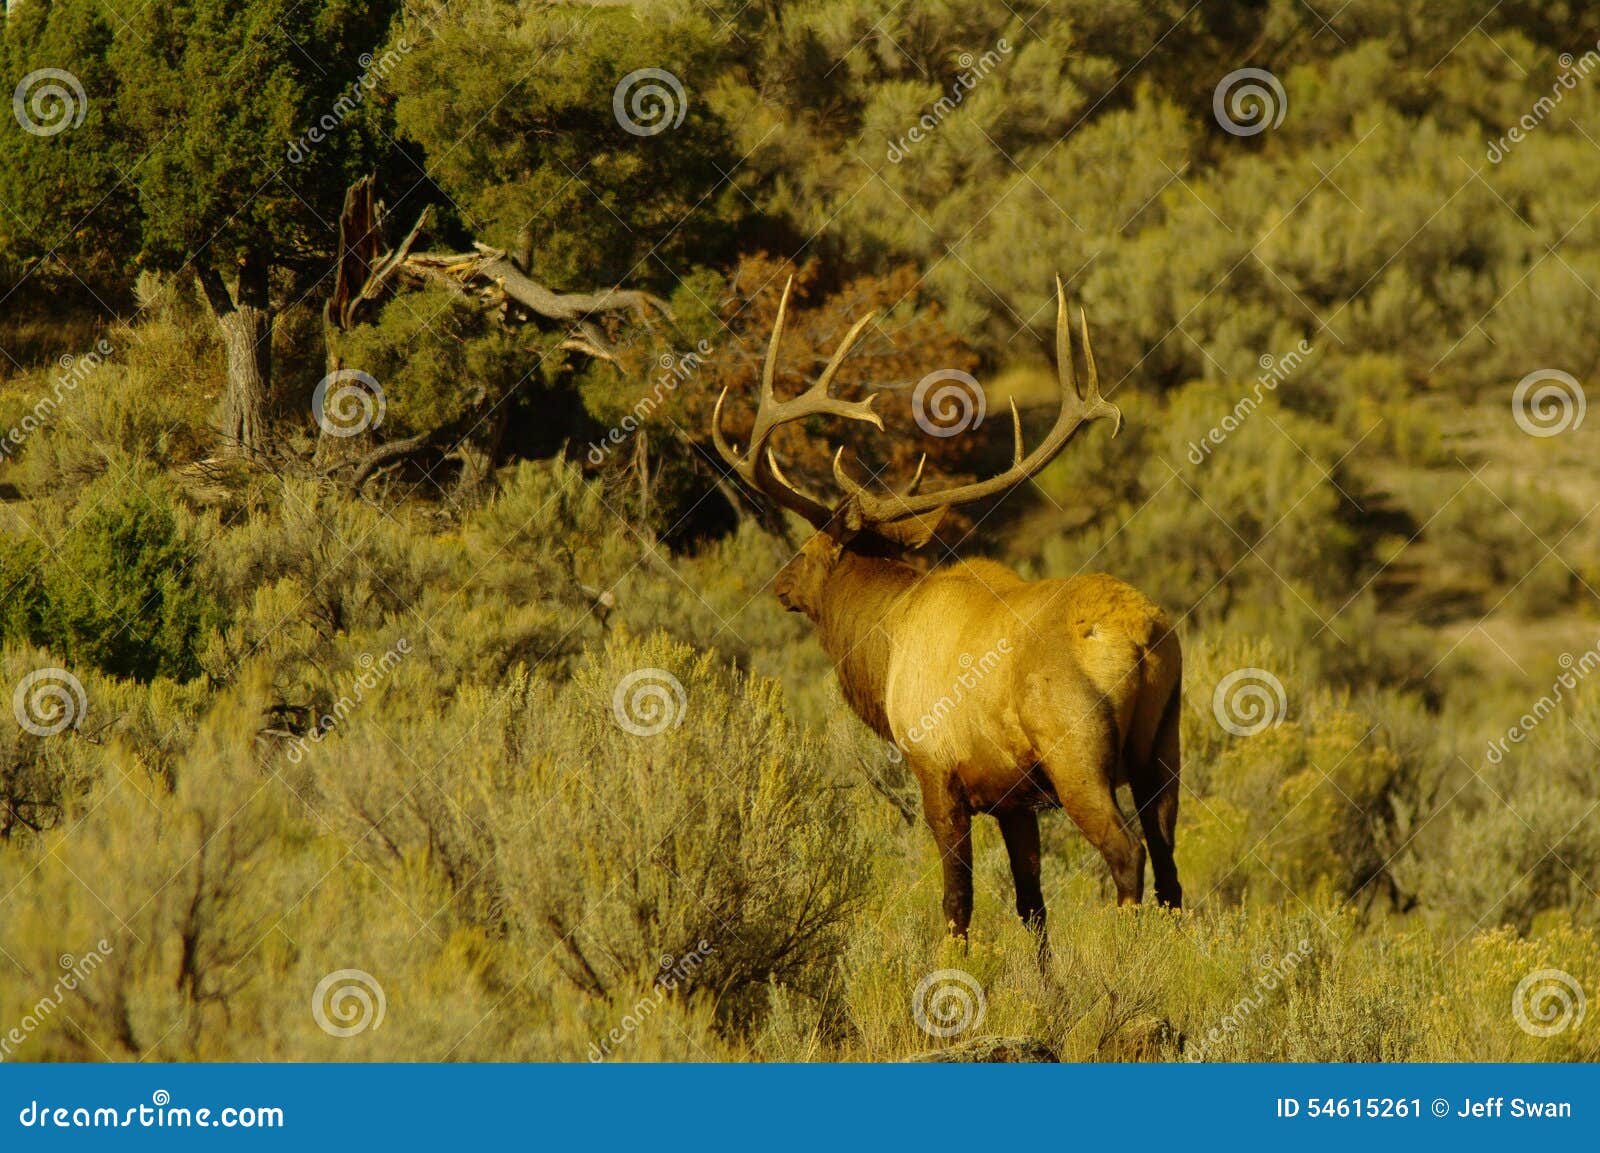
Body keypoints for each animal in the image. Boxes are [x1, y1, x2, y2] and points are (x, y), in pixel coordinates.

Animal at [711, 277, 1183, 942]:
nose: (780, 585)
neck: (882, 646)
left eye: (807, 549)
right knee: (1170, 866)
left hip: (1077, 753)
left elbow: (957, 902)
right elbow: (1032, 906)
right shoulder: (1013, 799)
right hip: (1164, 743)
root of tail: (1142, 636)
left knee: (1128, 852)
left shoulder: (934, 768)